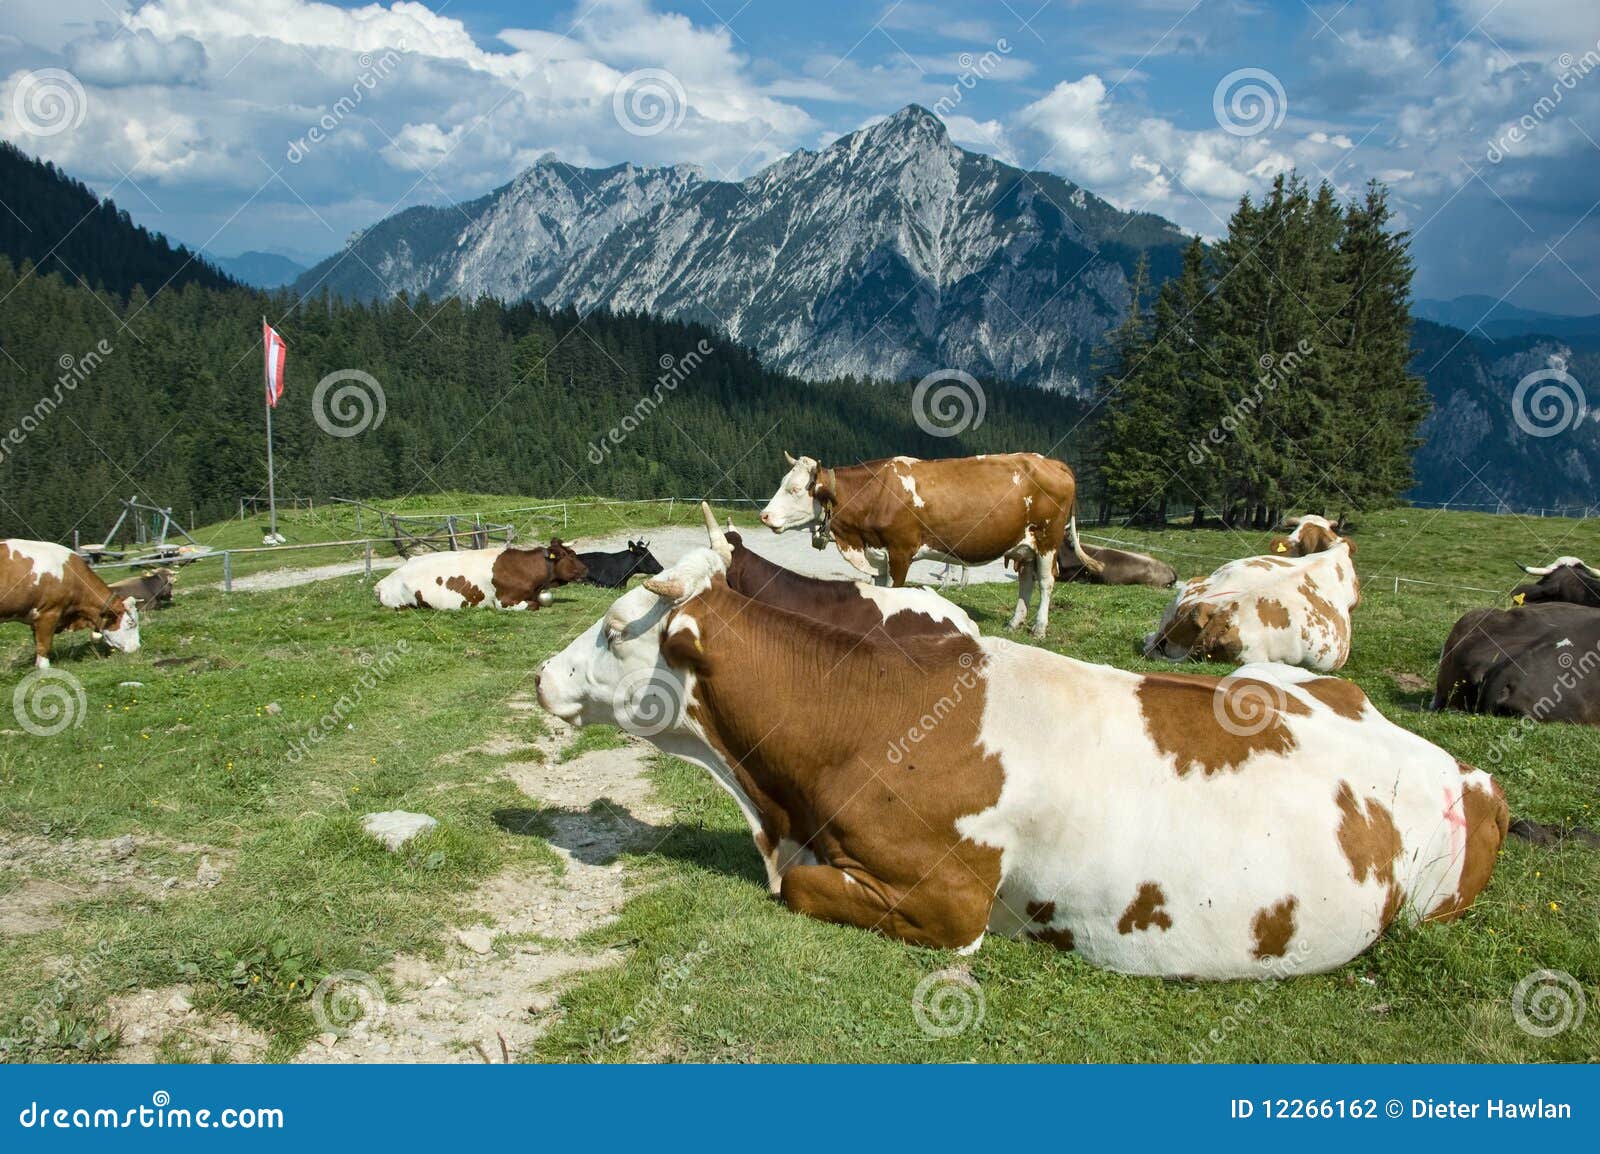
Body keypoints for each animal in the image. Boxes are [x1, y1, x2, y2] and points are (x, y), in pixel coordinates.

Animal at [373, 539, 586, 610]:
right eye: (569, 555)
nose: (586, 569)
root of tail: (381, 582)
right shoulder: (503, 602)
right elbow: (534, 605)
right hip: (399, 604)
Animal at [758, 451, 1102, 637]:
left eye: (795, 489)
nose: (764, 515)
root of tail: (1051, 461)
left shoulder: (900, 552)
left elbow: (895, 591)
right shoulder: (879, 554)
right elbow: (881, 590)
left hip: (1047, 539)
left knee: (1045, 582)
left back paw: (1039, 627)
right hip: (1025, 545)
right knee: (1026, 581)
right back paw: (1014, 622)